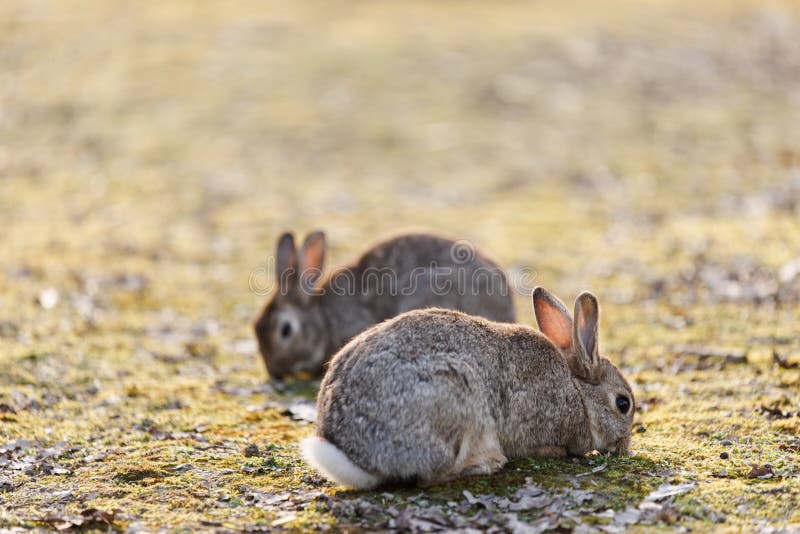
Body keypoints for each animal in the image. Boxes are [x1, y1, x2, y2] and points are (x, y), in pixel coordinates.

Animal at [302, 287, 634, 489]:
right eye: (623, 404)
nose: (624, 449)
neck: (578, 393)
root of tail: (353, 454)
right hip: (456, 396)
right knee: (429, 476)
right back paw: (487, 463)